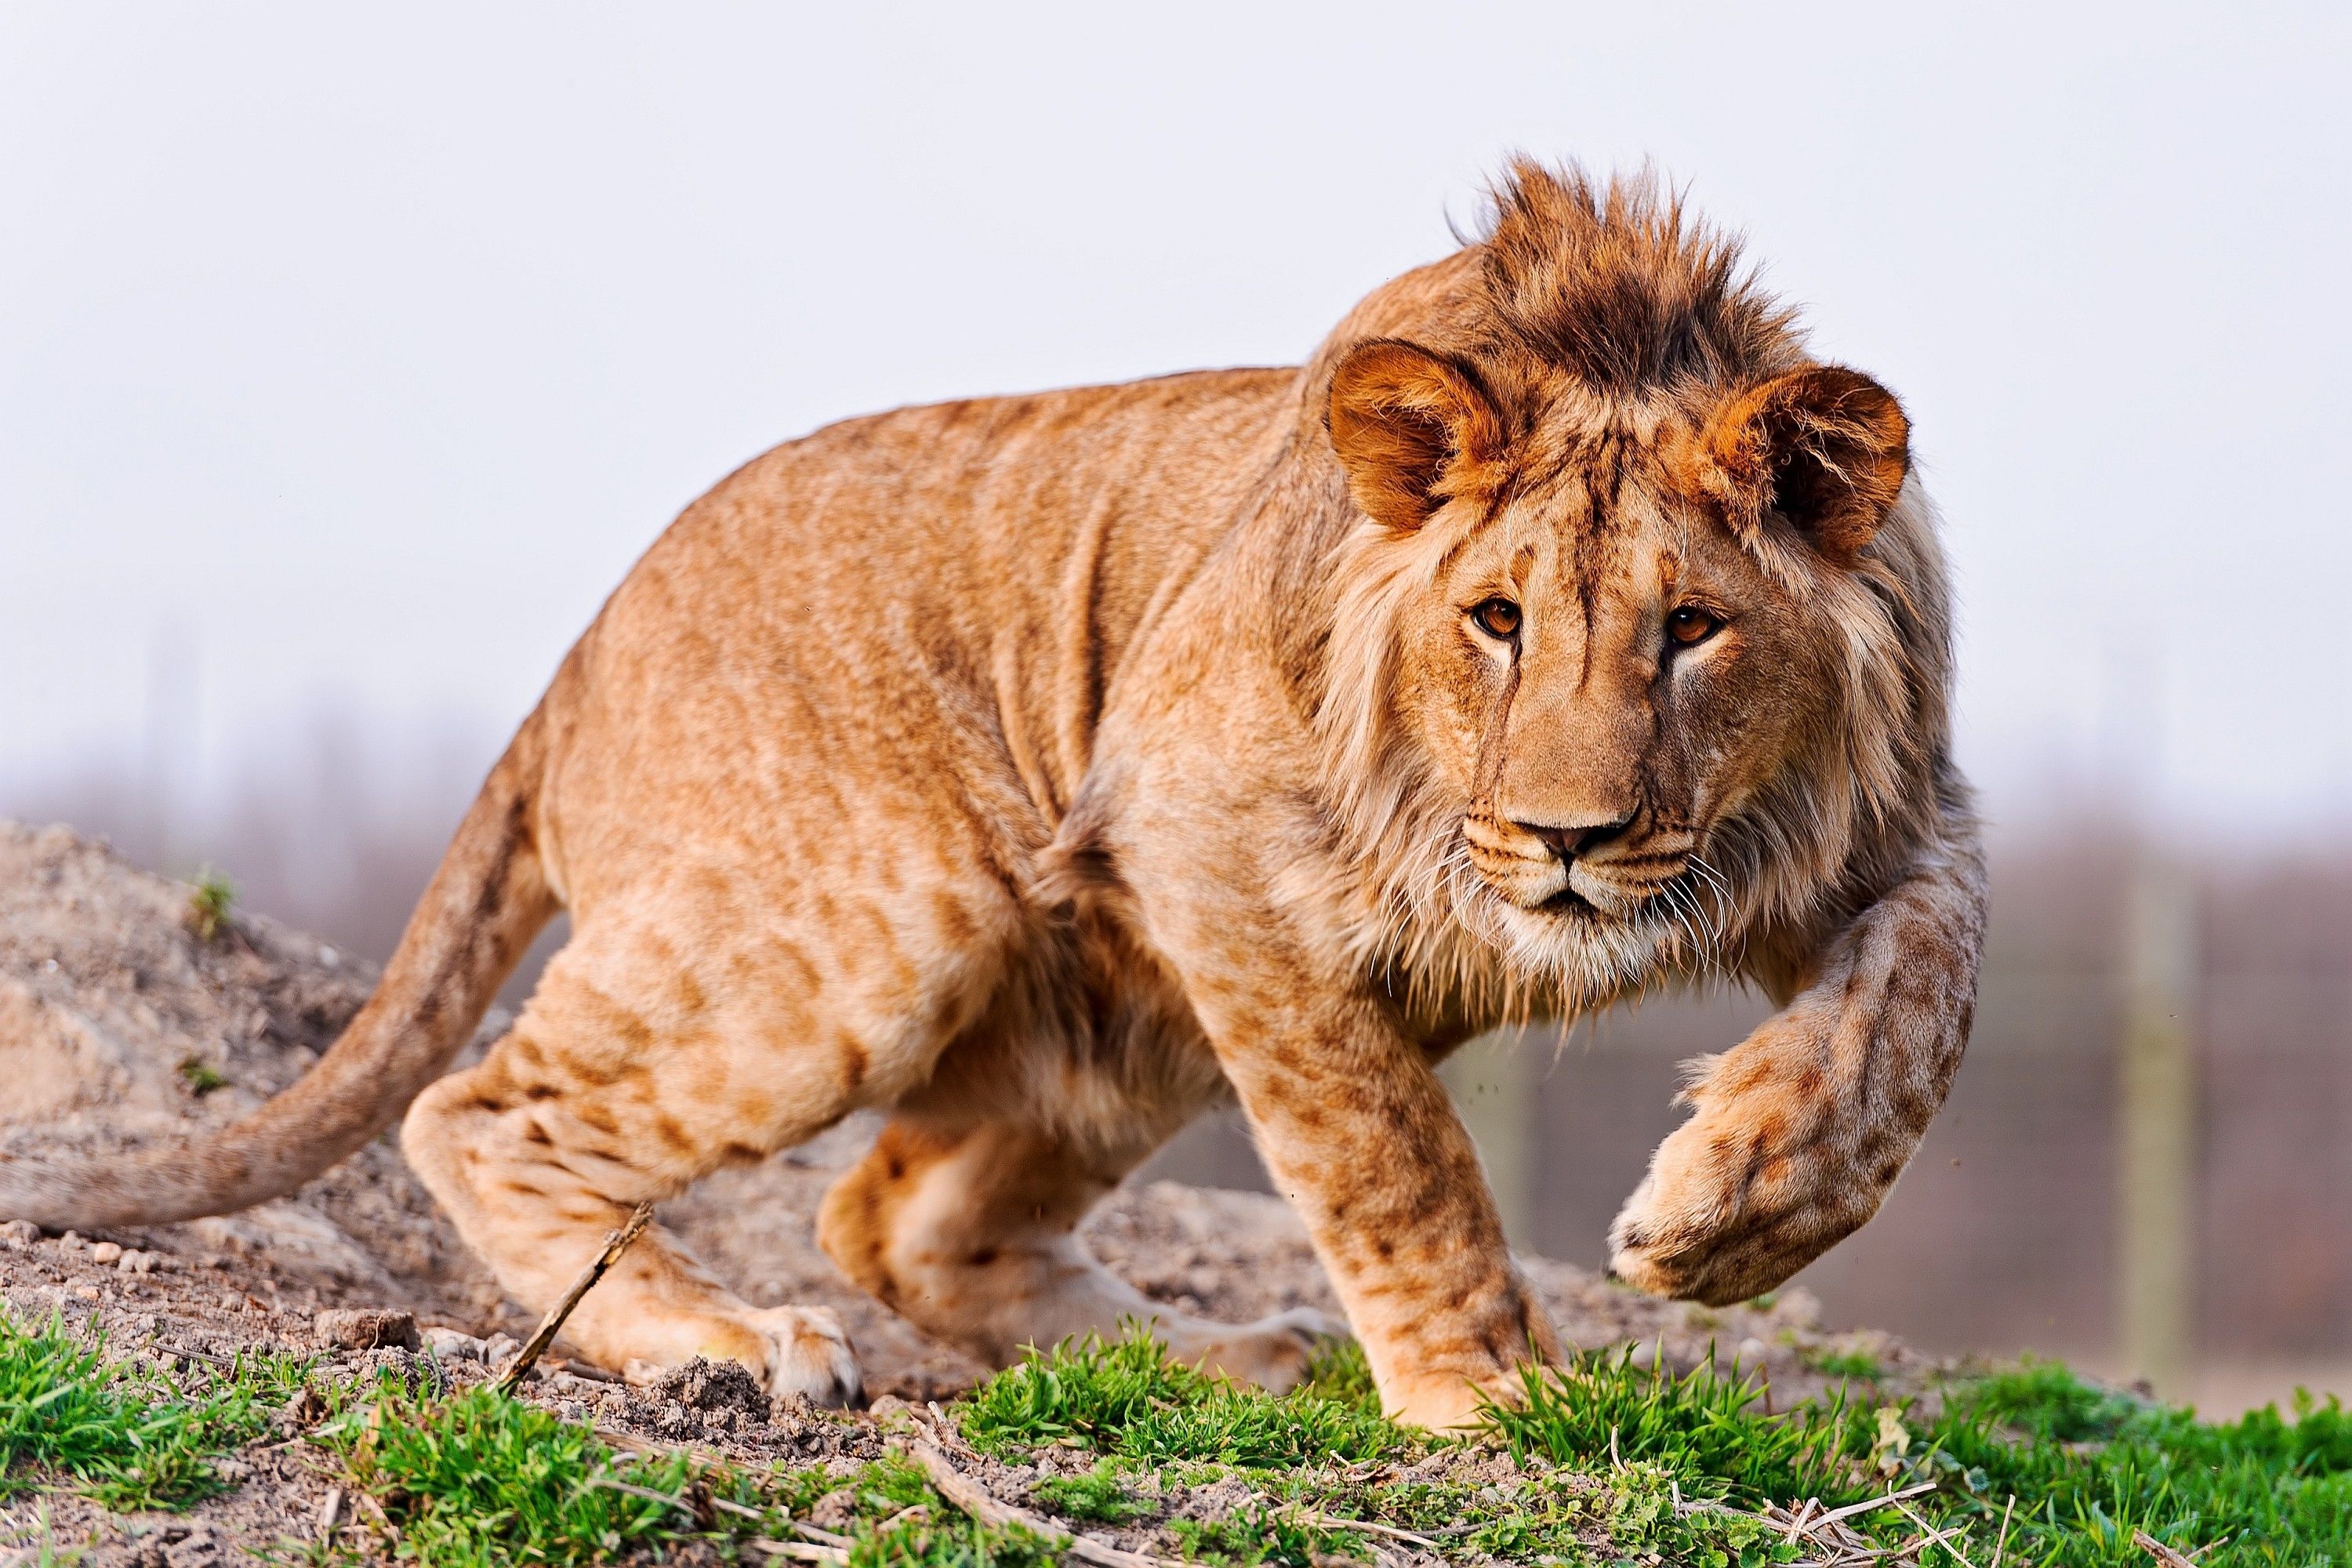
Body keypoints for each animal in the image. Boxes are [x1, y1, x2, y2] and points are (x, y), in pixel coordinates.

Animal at [1, 162, 1984, 1429]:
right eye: (1496, 621)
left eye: (1693, 629)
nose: (1572, 841)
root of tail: (584, 648)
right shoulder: (1204, 828)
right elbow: (1392, 1151)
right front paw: (1484, 1392)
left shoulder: (1892, 819)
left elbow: (1918, 1010)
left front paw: (1726, 1213)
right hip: (895, 914)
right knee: (485, 1109)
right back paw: (726, 1341)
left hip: (1117, 1013)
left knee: (896, 1217)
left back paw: (1222, 1356)